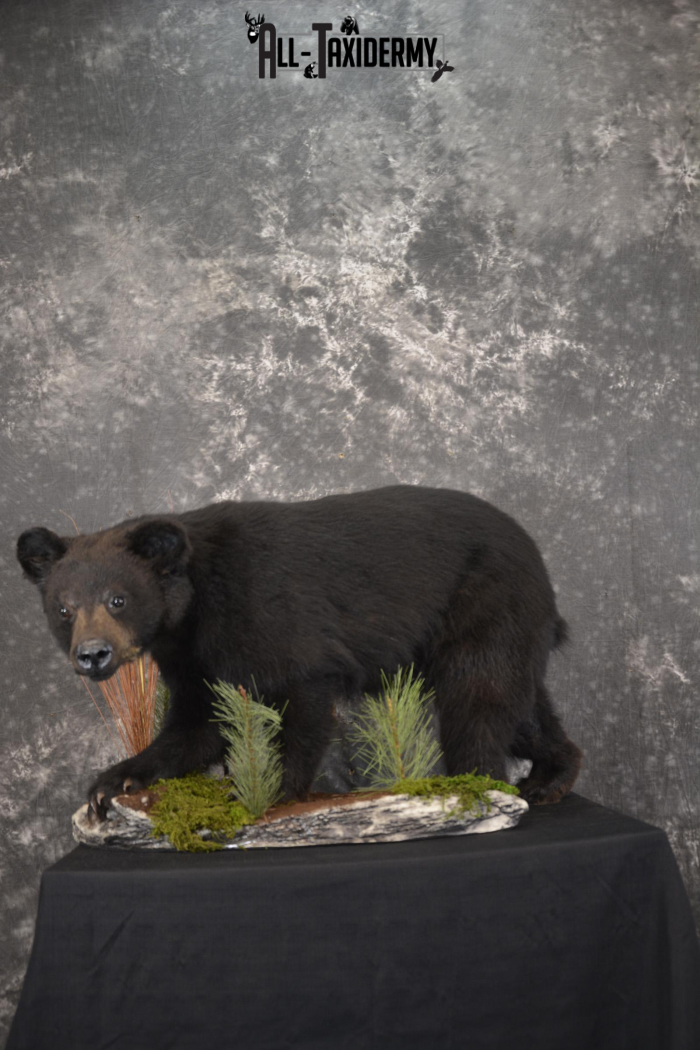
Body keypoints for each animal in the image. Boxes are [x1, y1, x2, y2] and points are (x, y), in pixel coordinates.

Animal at [16, 484, 582, 820]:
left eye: (118, 599)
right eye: (64, 608)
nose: (92, 654)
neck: (195, 605)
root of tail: (538, 561)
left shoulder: (270, 615)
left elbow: (302, 702)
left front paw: (266, 793)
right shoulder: (192, 658)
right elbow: (197, 724)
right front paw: (112, 782)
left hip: (486, 603)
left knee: (479, 696)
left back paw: (478, 786)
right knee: (521, 703)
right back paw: (549, 778)